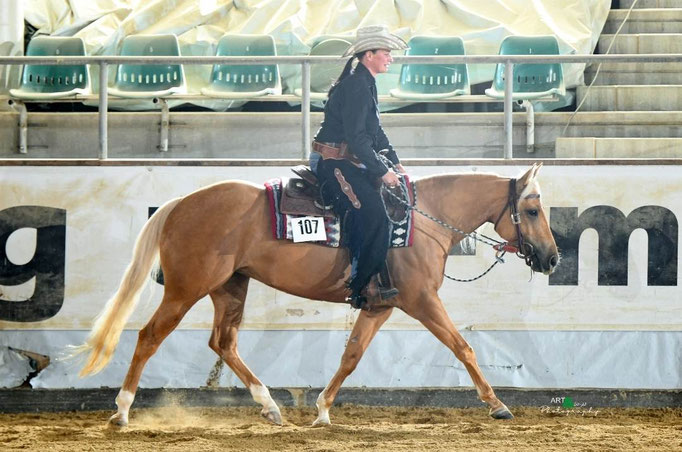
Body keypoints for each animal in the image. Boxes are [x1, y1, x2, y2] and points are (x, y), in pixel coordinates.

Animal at [77, 163, 559, 427]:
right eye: (533, 210)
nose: (552, 259)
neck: (422, 219)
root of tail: (181, 203)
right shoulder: (421, 300)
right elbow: (463, 347)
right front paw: (497, 405)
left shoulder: (381, 305)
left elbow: (352, 354)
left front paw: (324, 410)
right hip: (185, 289)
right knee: (148, 337)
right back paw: (121, 411)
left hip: (229, 287)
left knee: (223, 343)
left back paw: (270, 406)